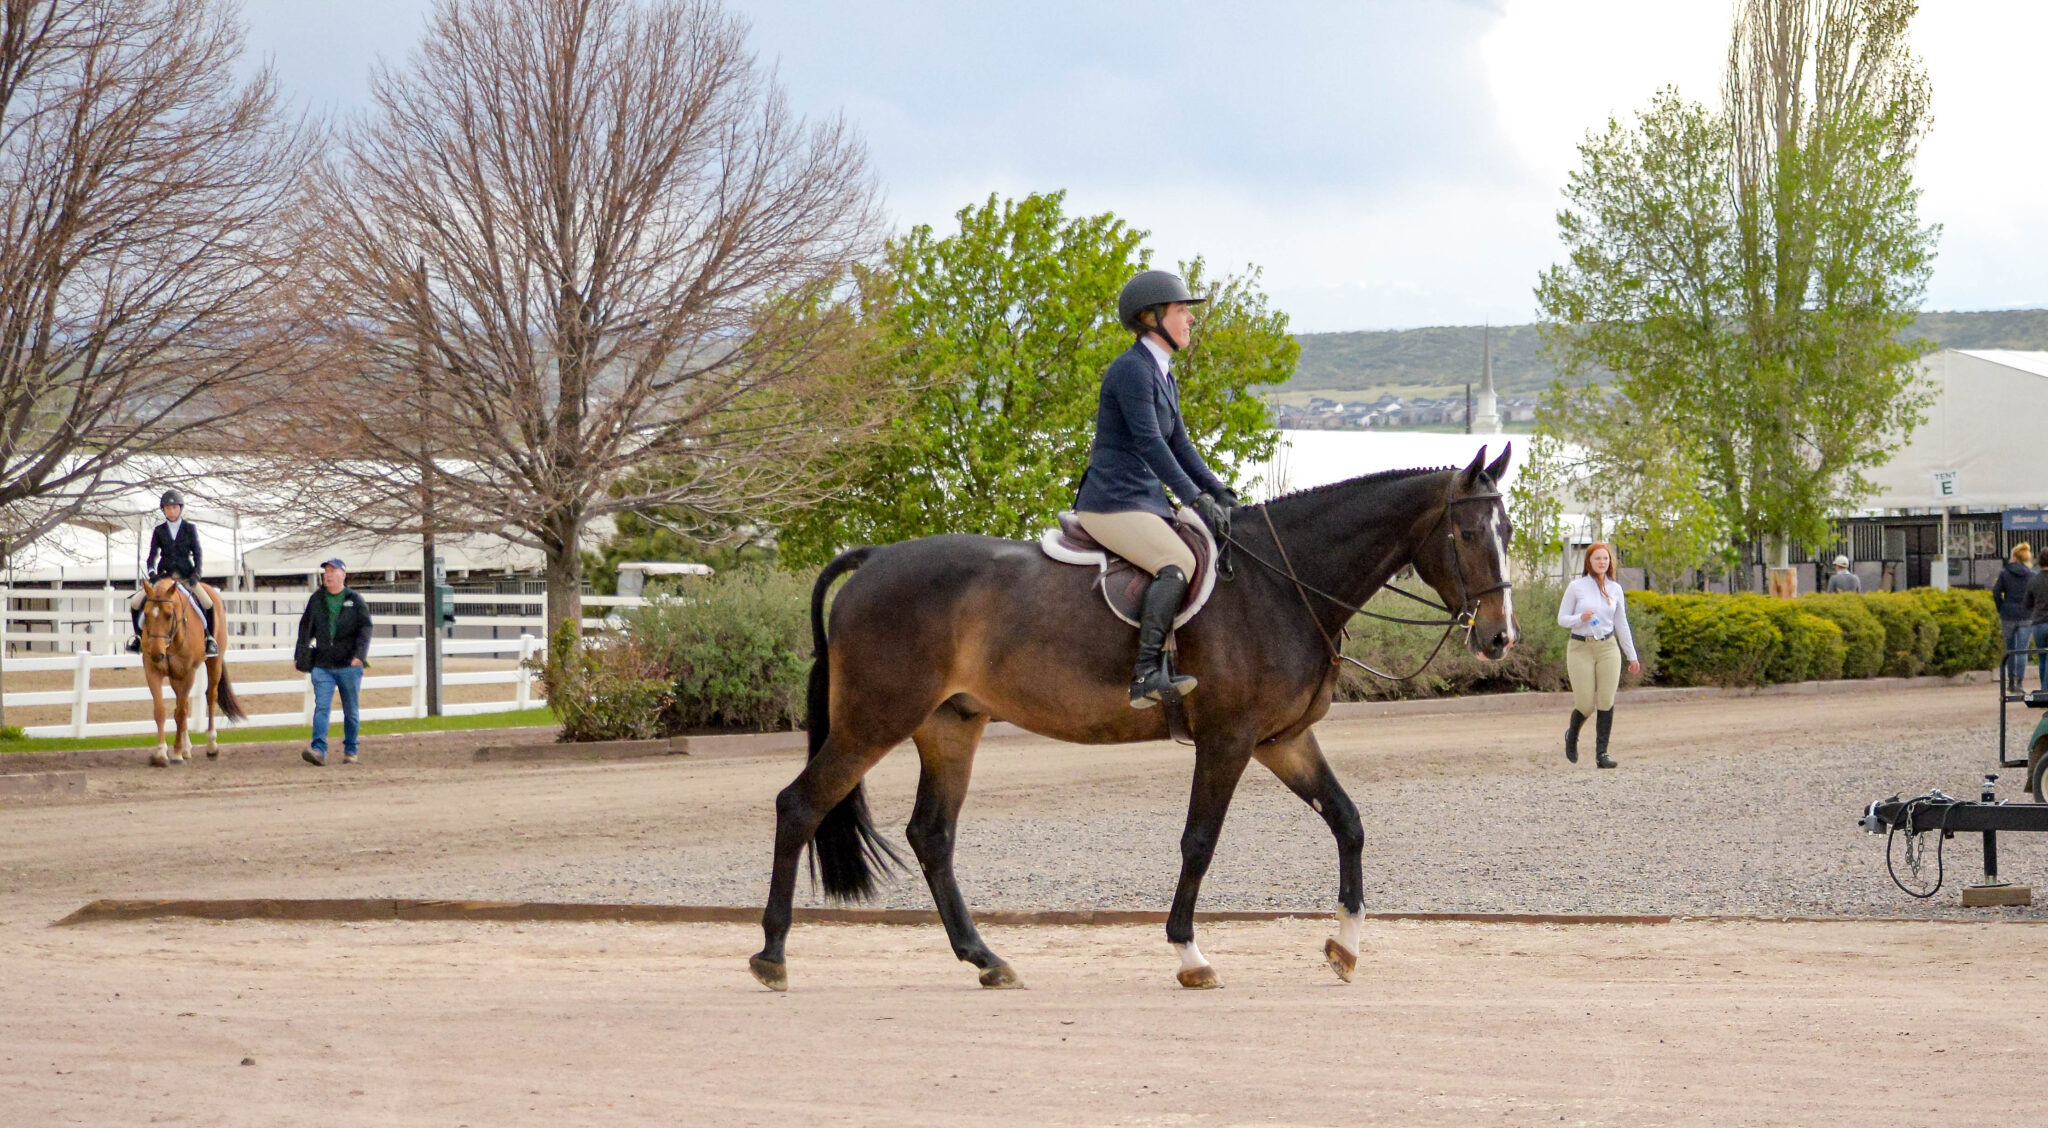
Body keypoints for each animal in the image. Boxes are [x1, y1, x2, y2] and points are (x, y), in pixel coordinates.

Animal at [137, 576, 245, 766]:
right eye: (147, 614)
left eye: (169, 615)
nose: (156, 653)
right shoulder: (152, 671)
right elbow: (161, 711)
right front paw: (161, 753)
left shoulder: (188, 673)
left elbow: (180, 713)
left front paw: (176, 753)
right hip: (175, 677)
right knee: (184, 705)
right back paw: (187, 749)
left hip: (213, 663)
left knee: (210, 696)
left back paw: (211, 746)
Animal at [751, 445, 1516, 992]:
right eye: (1468, 532)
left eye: (1507, 530)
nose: (1499, 637)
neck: (1284, 582)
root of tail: (875, 558)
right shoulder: (1228, 739)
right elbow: (1199, 842)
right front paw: (1189, 954)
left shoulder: (1282, 740)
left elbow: (1349, 823)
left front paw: (1344, 948)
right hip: (874, 721)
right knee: (800, 805)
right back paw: (772, 954)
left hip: (949, 726)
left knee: (931, 834)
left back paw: (986, 959)